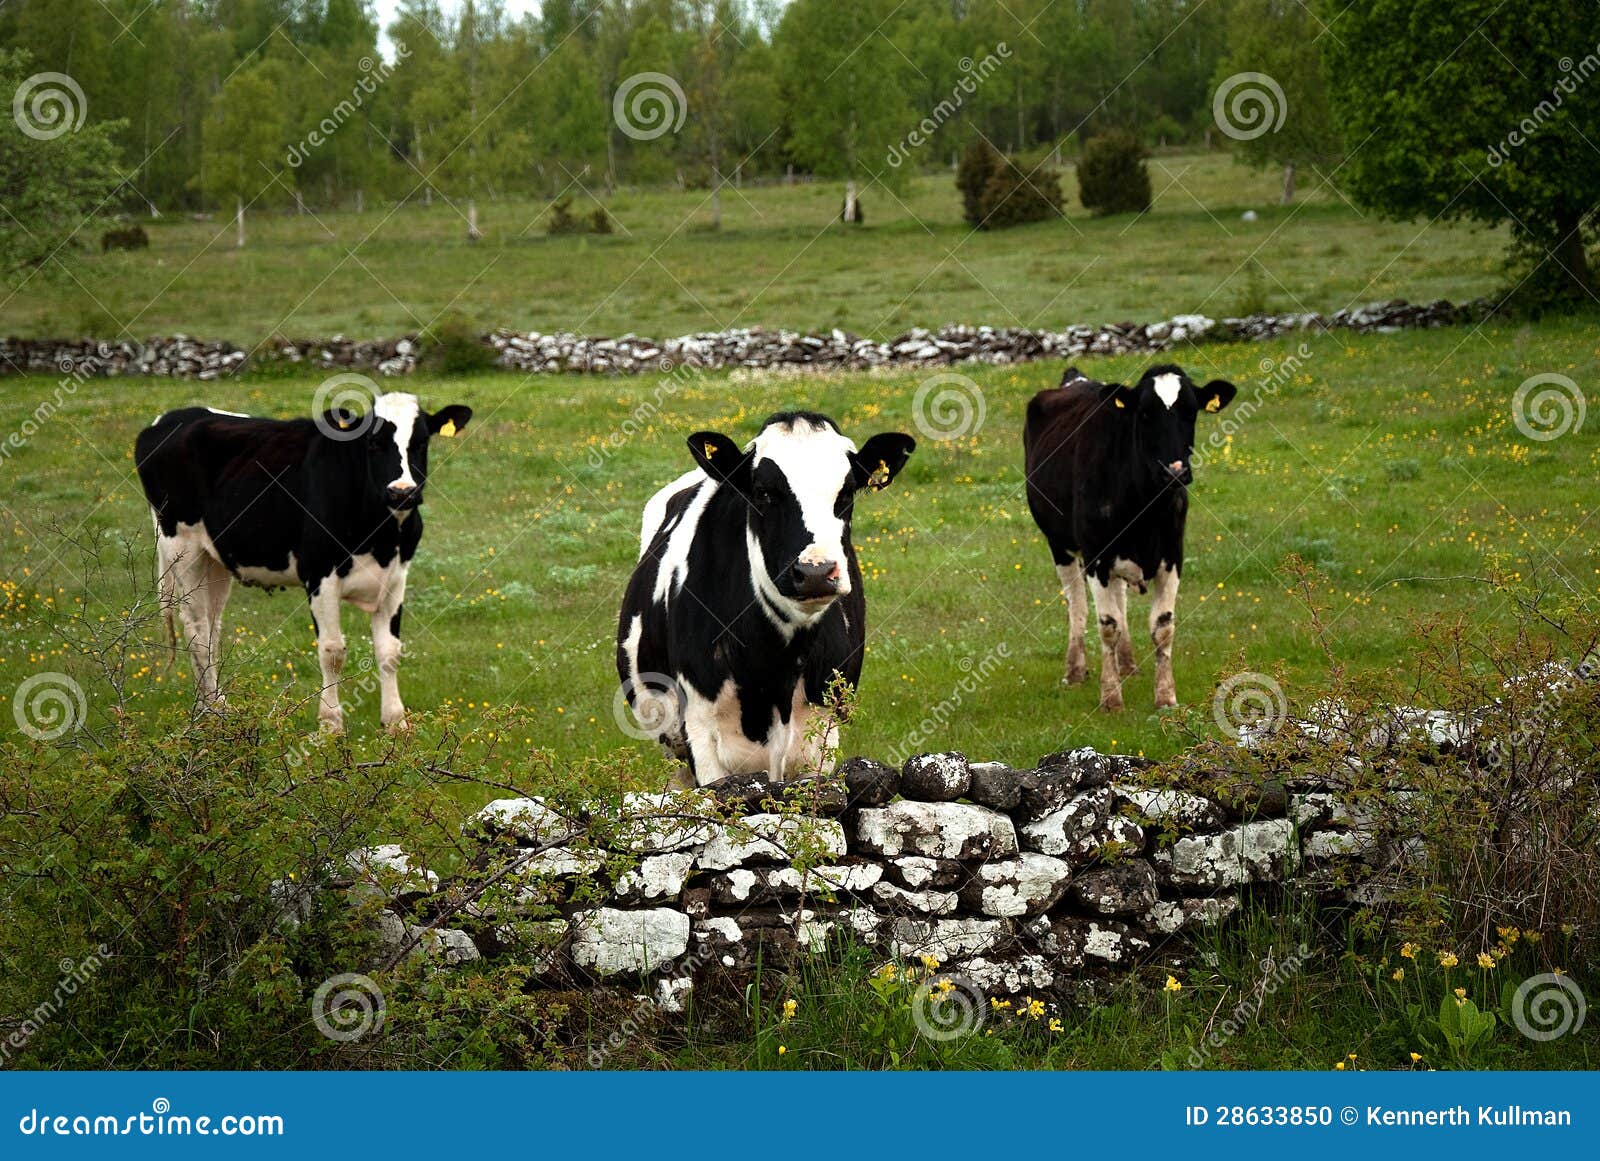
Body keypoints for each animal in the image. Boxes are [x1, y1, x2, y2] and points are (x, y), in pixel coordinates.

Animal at [134, 393, 472, 731]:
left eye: (421, 442)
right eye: (374, 443)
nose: (401, 492)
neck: (382, 538)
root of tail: (175, 416)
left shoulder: (396, 576)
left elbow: (389, 651)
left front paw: (395, 723)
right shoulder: (319, 573)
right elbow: (332, 651)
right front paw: (331, 724)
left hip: (215, 558)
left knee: (212, 627)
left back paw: (215, 705)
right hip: (181, 545)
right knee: (196, 629)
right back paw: (211, 713)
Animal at [617, 411, 916, 786]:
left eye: (846, 493)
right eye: (763, 492)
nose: (815, 571)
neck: (773, 666)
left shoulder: (821, 732)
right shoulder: (700, 730)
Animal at [1024, 364, 1235, 712]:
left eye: (1191, 412)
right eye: (1145, 413)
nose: (1175, 471)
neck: (1145, 507)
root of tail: (1076, 379)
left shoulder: (1172, 555)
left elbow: (1163, 626)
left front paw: (1166, 696)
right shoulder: (1097, 556)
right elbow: (1106, 625)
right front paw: (1111, 698)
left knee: (1120, 598)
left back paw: (1127, 664)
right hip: (1060, 545)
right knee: (1077, 604)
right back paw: (1075, 669)